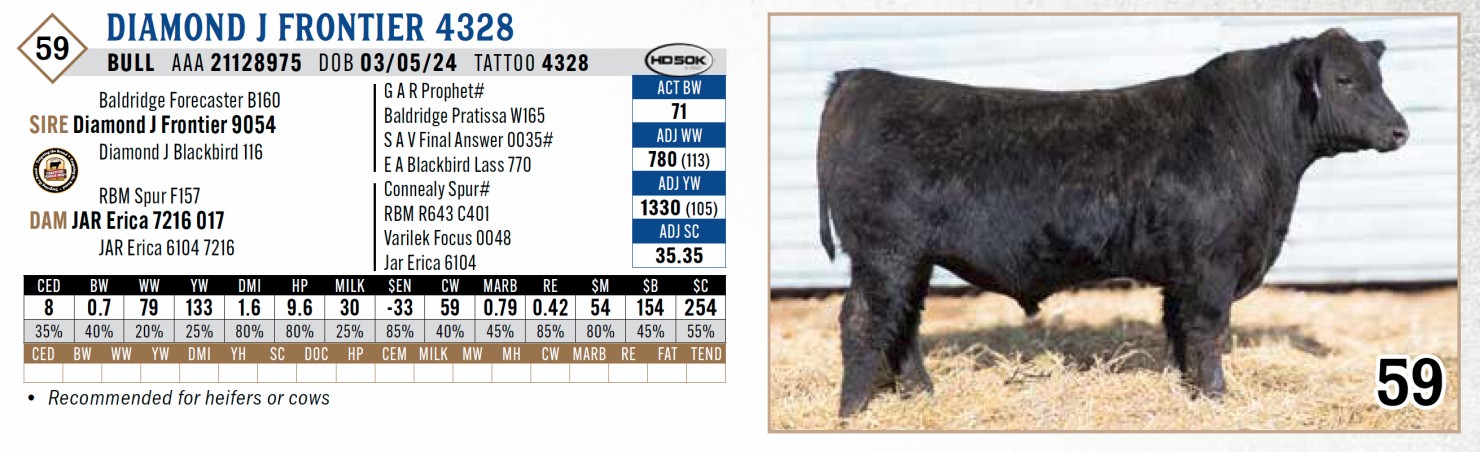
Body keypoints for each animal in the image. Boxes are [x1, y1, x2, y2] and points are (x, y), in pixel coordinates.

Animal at [815, 28, 1408, 417]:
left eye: (1380, 77)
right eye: (1344, 79)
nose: (1401, 130)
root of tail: (858, 80)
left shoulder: (1182, 271)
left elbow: (1181, 330)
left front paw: (1191, 391)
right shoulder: (1212, 264)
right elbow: (1209, 330)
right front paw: (1216, 398)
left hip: (913, 259)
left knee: (904, 322)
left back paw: (921, 395)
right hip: (884, 253)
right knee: (864, 319)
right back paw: (853, 411)